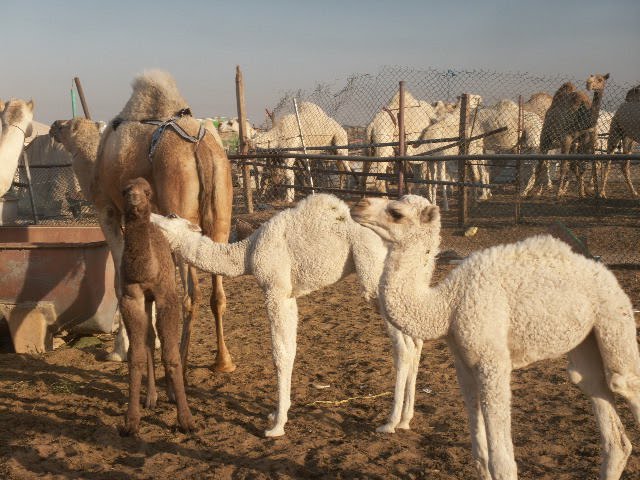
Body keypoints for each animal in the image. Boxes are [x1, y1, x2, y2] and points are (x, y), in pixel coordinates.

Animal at [91, 70, 235, 374]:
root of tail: (200, 148)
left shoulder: (107, 209)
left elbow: (119, 281)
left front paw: (120, 351)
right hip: (220, 218)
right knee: (217, 291)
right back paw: (223, 362)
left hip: (181, 215)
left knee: (190, 294)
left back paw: (179, 360)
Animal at [119, 178, 194, 436]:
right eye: (125, 190)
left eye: (147, 192)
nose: (133, 197)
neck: (145, 270)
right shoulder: (131, 299)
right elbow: (136, 355)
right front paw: (131, 421)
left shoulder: (166, 297)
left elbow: (171, 354)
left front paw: (186, 419)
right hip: (146, 301)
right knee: (150, 340)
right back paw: (151, 397)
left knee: (157, 340)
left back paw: (170, 393)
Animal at [150, 193, 424, 437]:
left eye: (171, 215)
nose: (149, 216)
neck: (247, 253)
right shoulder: (289, 296)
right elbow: (290, 350)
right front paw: (278, 412)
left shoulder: (276, 289)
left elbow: (279, 354)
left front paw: (276, 426)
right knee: (415, 338)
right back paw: (406, 419)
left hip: (373, 279)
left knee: (403, 346)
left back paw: (390, 422)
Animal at [351, 194, 640, 480]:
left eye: (396, 212)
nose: (359, 205)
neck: (448, 305)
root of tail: (605, 274)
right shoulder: (464, 366)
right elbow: (481, 458)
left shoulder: (494, 364)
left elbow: (502, 464)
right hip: (585, 342)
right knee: (598, 401)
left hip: (613, 317)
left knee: (624, 381)